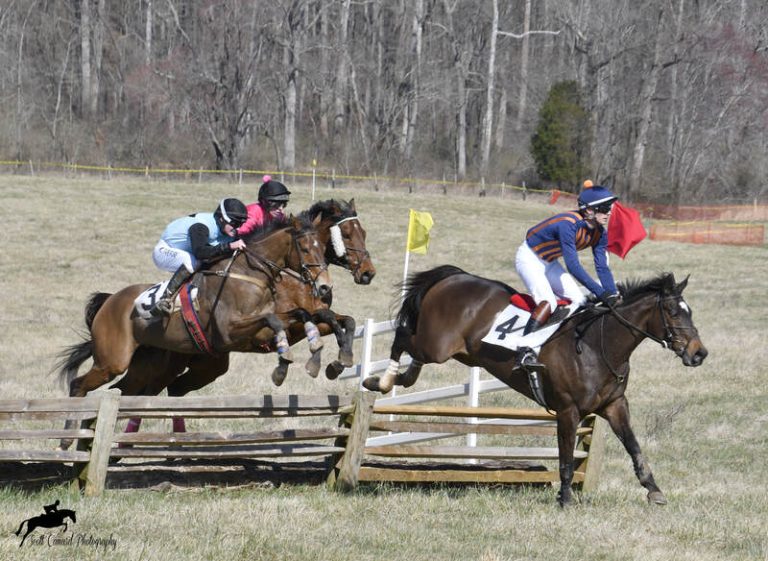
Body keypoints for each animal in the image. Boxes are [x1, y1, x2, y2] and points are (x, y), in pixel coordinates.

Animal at [362, 266, 708, 506]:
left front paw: (654, 491)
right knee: (402, 335)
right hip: (436, 345)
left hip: (459, 352)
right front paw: (565, 499)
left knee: (412, 353)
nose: (699, 353)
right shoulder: (568, 410)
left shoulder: (614, 406)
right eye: (672, 311)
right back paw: (380, 380)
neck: (599, 345)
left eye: (691, 312)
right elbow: (566, 457)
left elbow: (634, 448)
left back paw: (401, 378)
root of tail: (454, 277)